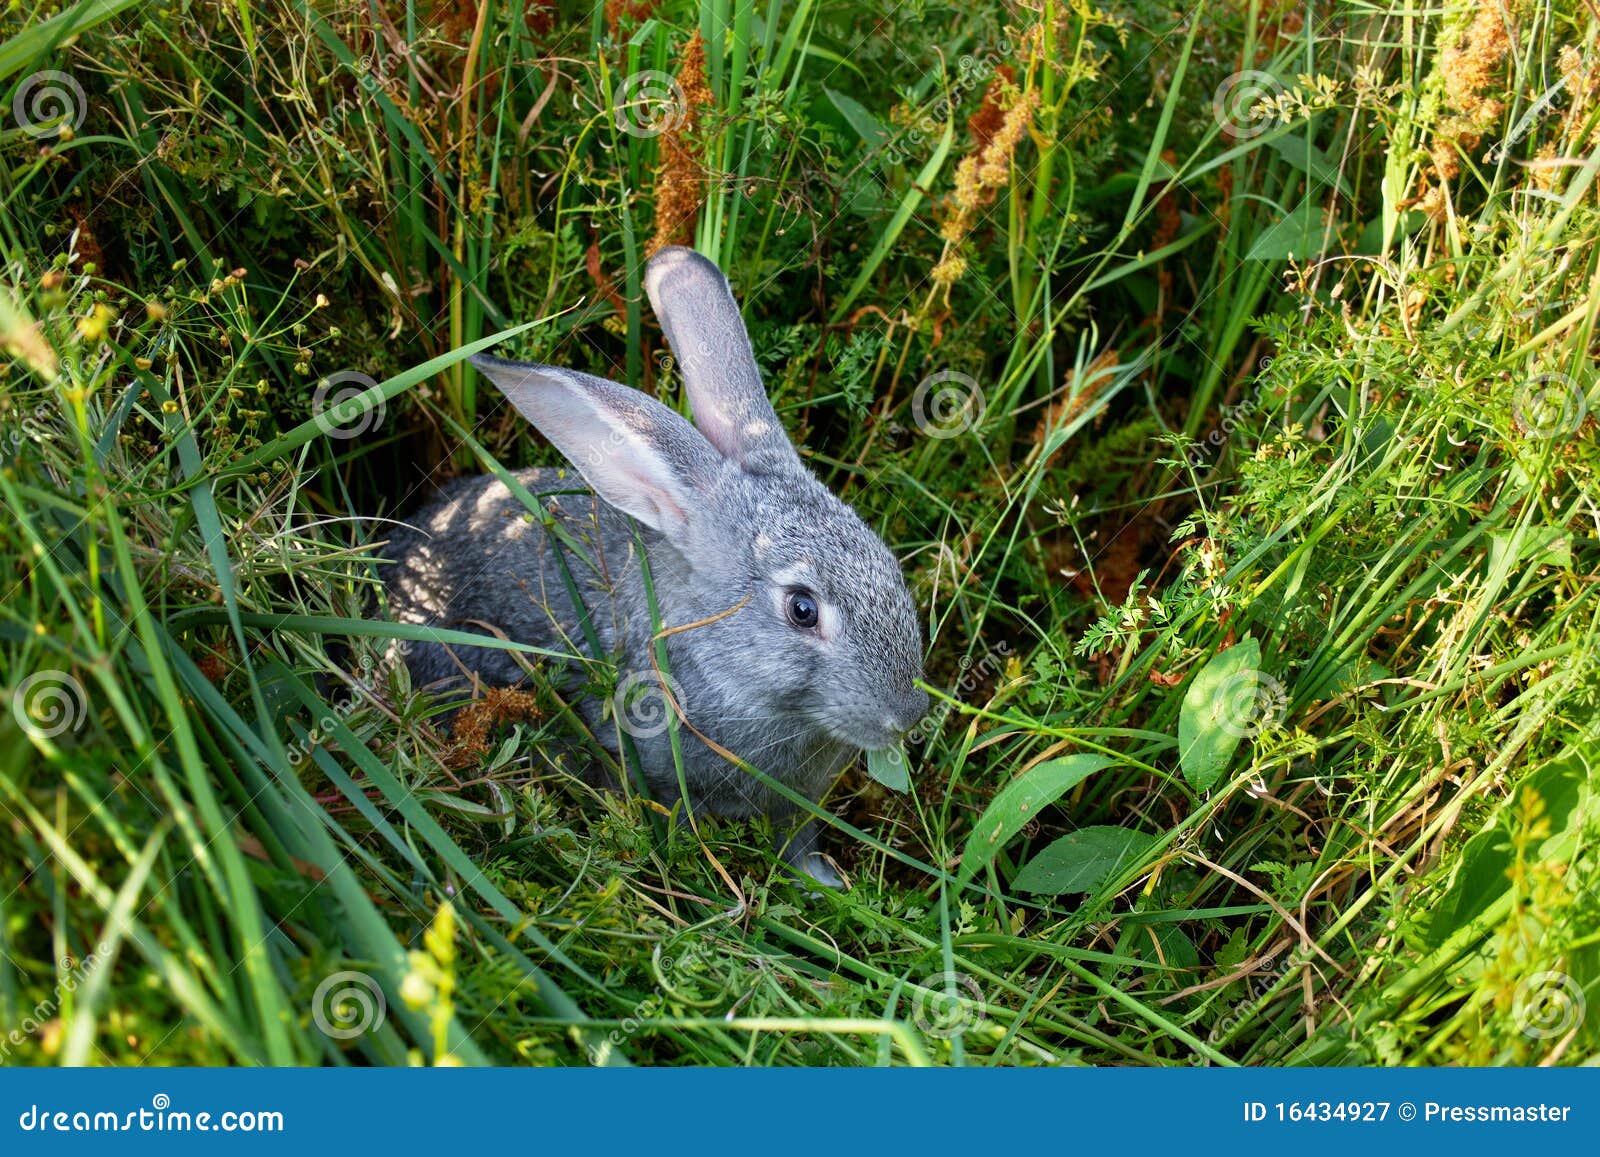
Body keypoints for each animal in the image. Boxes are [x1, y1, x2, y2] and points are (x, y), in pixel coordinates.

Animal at [381, 246, 929, 886]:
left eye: (887, 560)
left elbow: (796, 843)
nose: (907, 715)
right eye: (801, 608)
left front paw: (821, 883)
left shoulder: (795, 804)